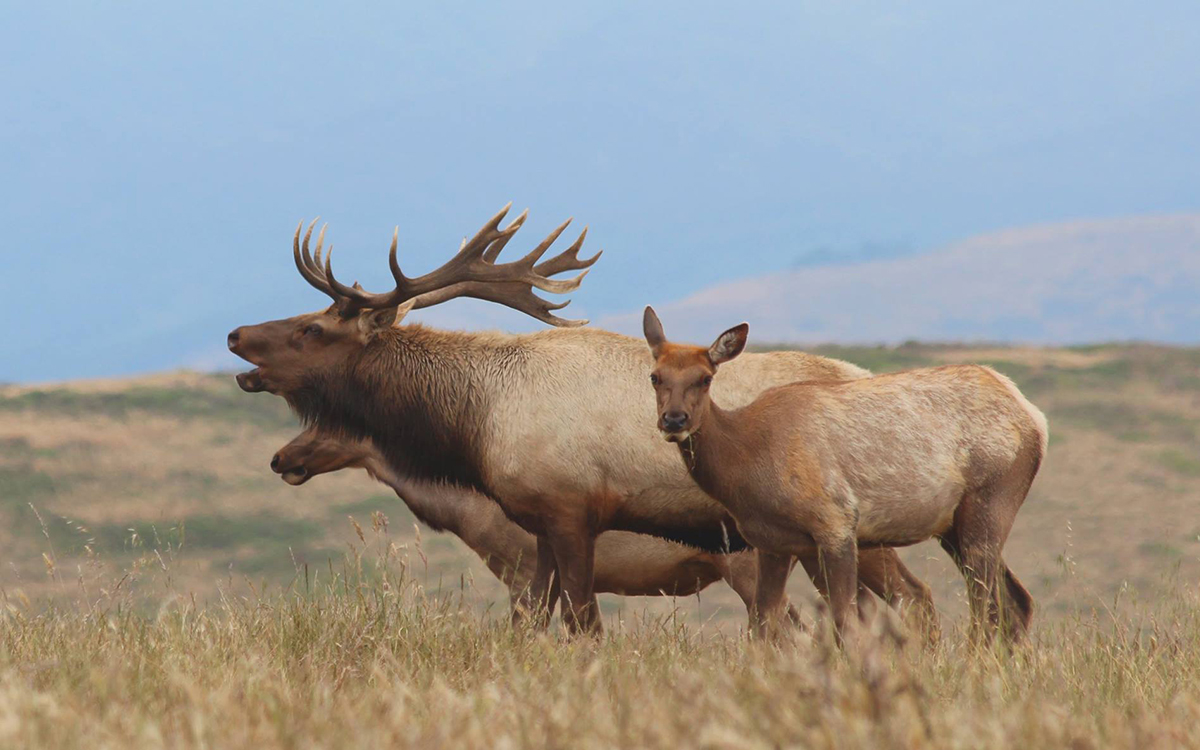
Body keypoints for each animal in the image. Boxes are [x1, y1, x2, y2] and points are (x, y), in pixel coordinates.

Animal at [227, 205, 938, 635]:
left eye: (312, 329)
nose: (236, 335)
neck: (477, 423)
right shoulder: (538, 525)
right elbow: (534, 629)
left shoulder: (569, 513)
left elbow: (584, 626)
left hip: (838, 528)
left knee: (911, 599)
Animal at [642, 306, 1046, 644]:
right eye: (655, 377)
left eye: (705, 378)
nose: (674, 420)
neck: (747, 466)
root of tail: (1033, 416)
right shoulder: (772, 543)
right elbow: (762, 624)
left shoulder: (836, 524)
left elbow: (844, 622)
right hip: (951, 526)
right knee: (1015, 600)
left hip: (991, 500)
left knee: (984, 604)